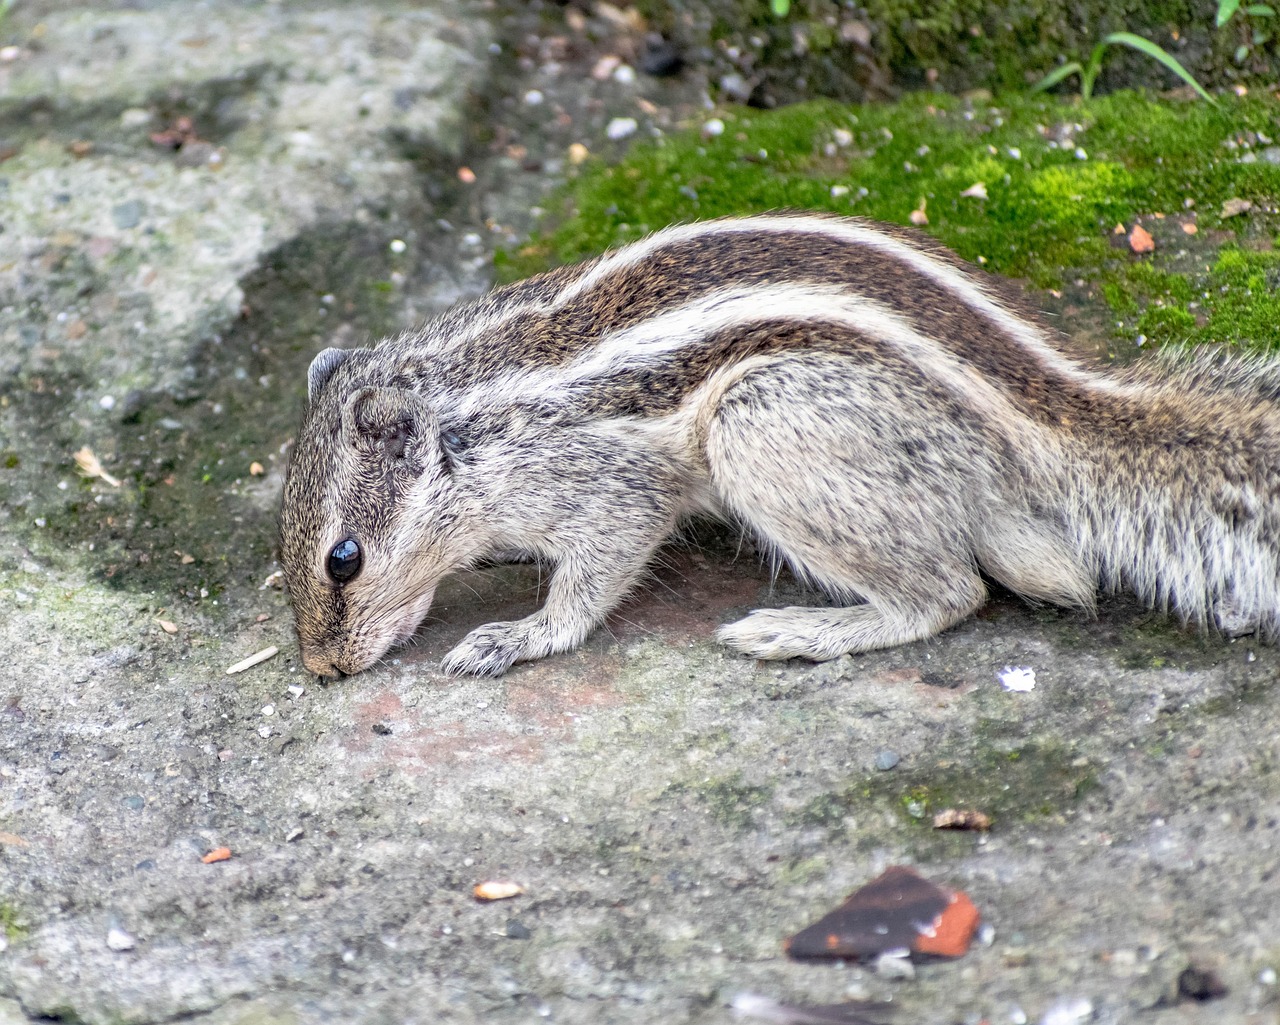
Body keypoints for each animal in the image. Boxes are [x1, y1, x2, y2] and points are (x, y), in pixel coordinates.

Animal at [279, 213, 1280, 678]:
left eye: (343, 558)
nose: (324, 669)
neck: (466, 410)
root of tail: (1051, 412)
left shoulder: (604, 489)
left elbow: (589, 584)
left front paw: (515, 636)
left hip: (760, 423)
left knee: (950, 593)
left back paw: (800, 631)